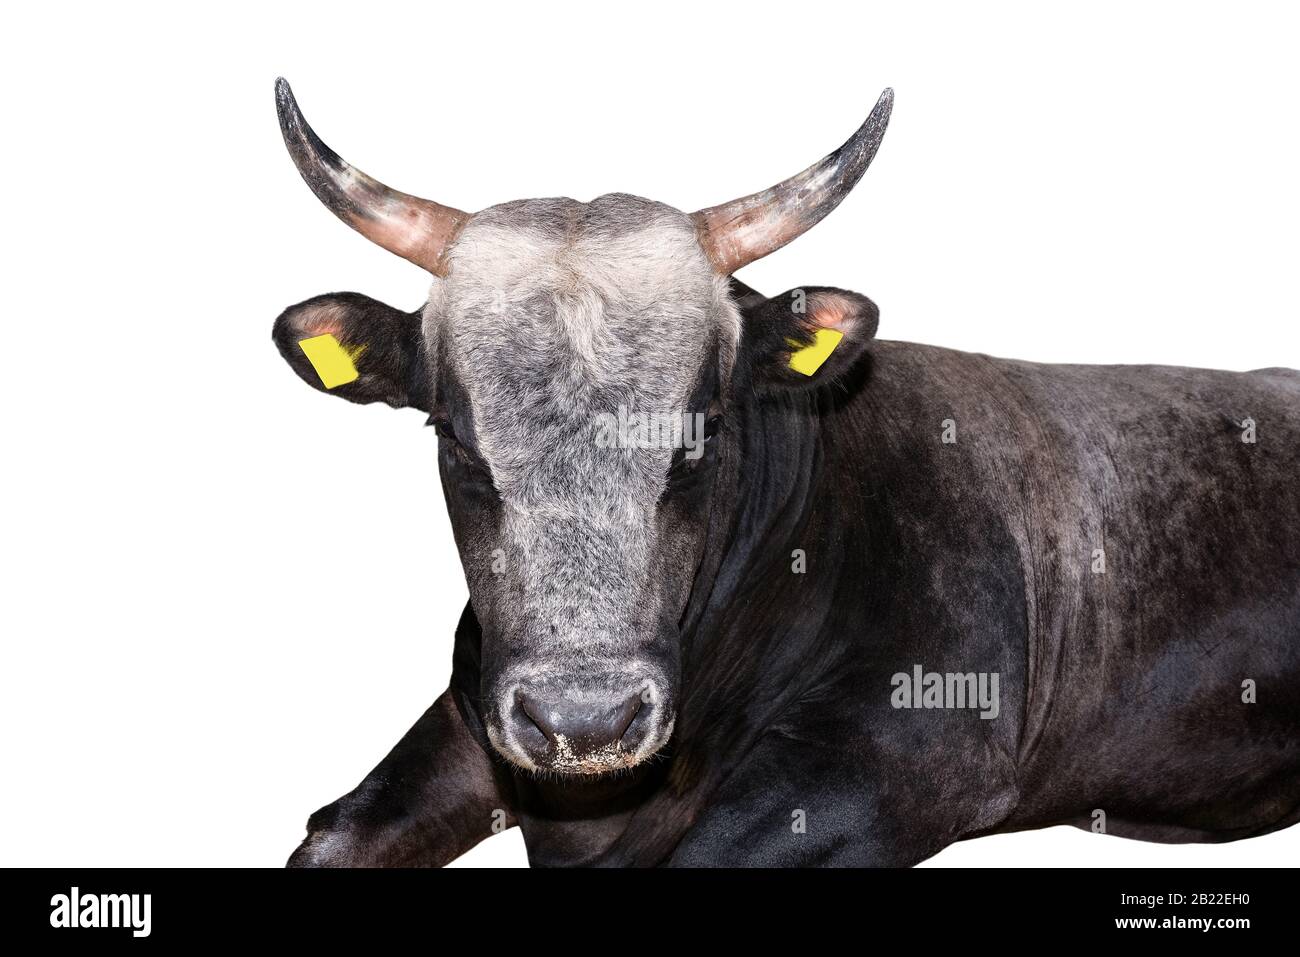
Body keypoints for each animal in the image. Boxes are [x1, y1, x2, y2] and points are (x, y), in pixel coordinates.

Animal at [271, 78, 1300, 867]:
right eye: (454, 436)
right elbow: (330, 835)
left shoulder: (905, 752)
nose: (585, 720)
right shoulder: (468, 714)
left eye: (703, 432)